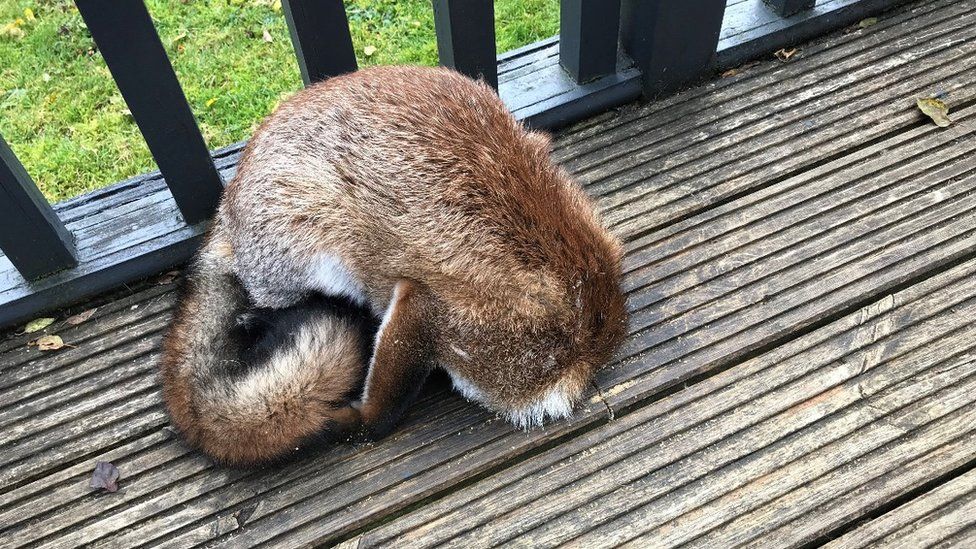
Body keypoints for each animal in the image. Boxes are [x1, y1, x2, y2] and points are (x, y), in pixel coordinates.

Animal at [160, 65, 628, 466]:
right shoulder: (435, 311)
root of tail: (227, 201)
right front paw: (350, 423)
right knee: (265, 304)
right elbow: (379, 419)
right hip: (317, 241)